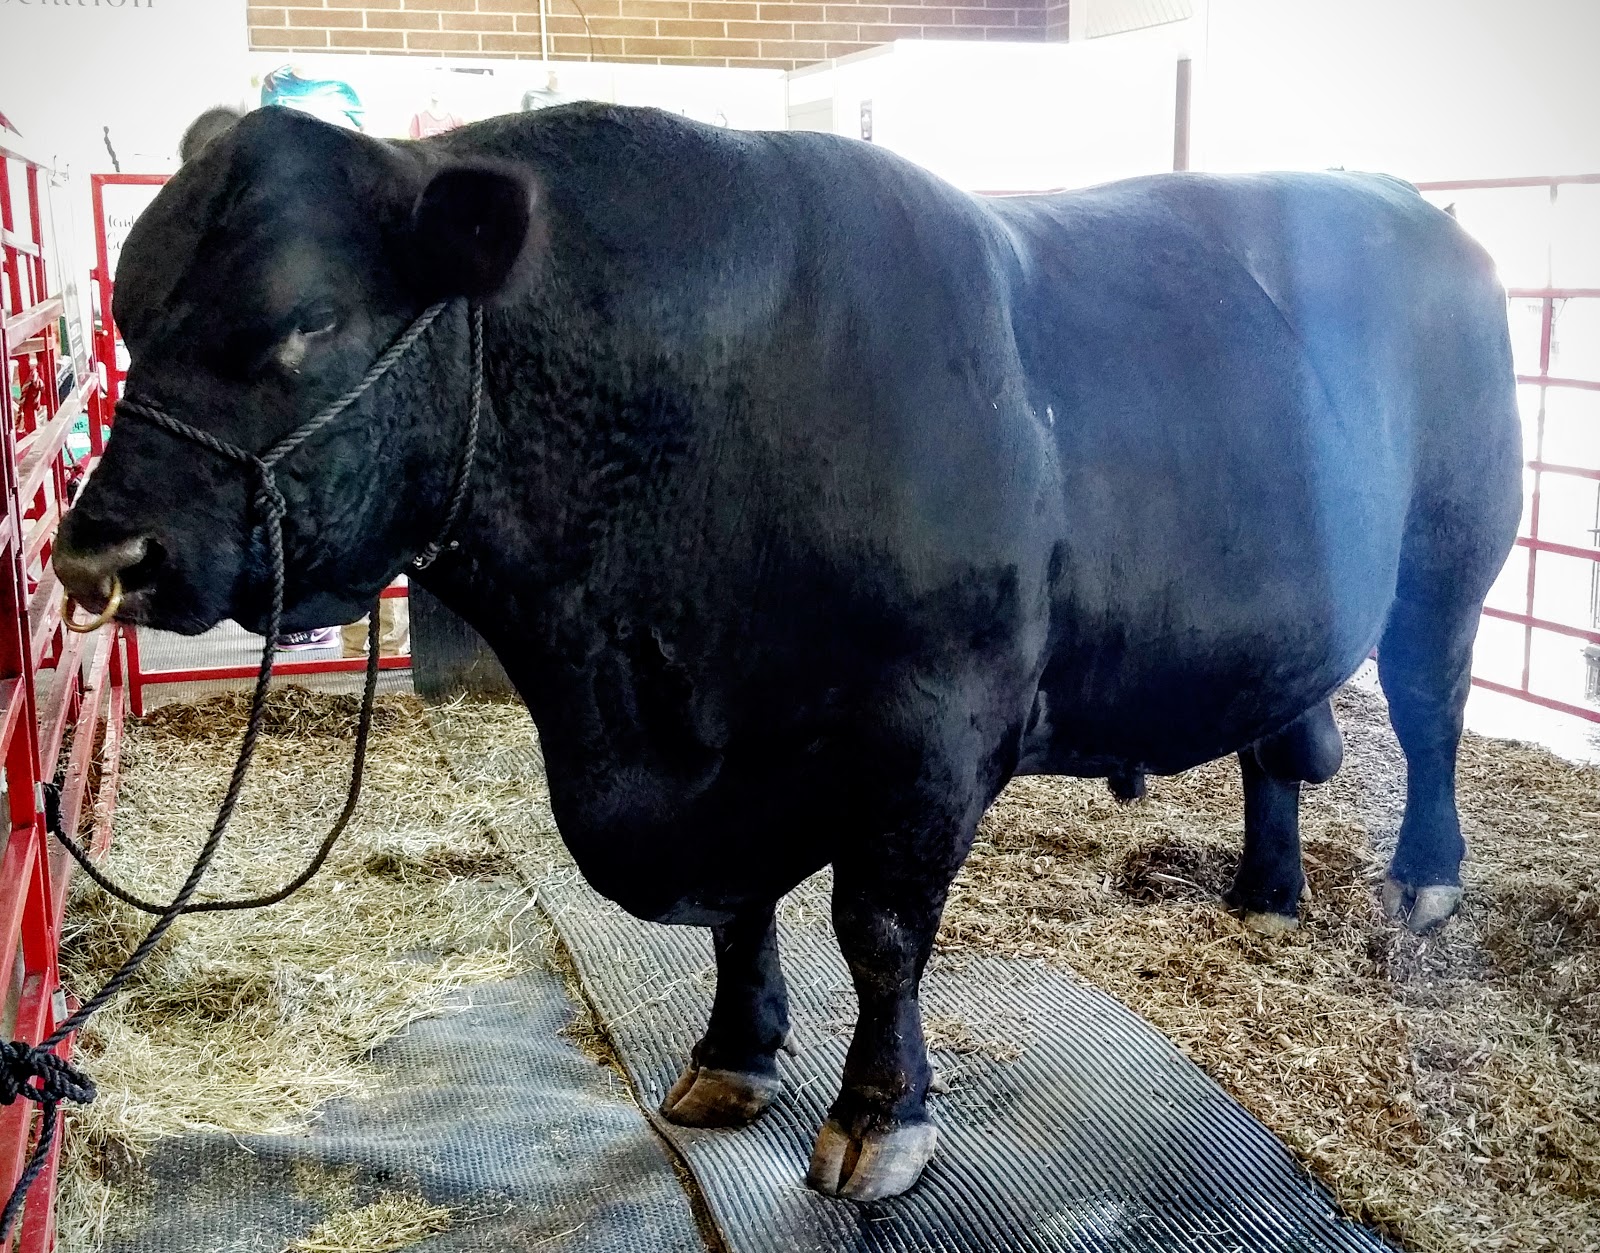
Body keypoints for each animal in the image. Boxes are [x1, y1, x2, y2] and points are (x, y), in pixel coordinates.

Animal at [52, 104, 1521, 1201]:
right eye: (129, 307)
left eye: (305, 321)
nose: (95, 559)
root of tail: (1417, 209)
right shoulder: (717, 754)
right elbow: (741, 913)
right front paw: (733, 1055)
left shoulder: (930, 722)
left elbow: (877, 930)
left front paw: (881, 1115)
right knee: (1279, 742)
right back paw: (1266, 889)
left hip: (1451, 559)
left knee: (1431, 707)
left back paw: (1425, 880)